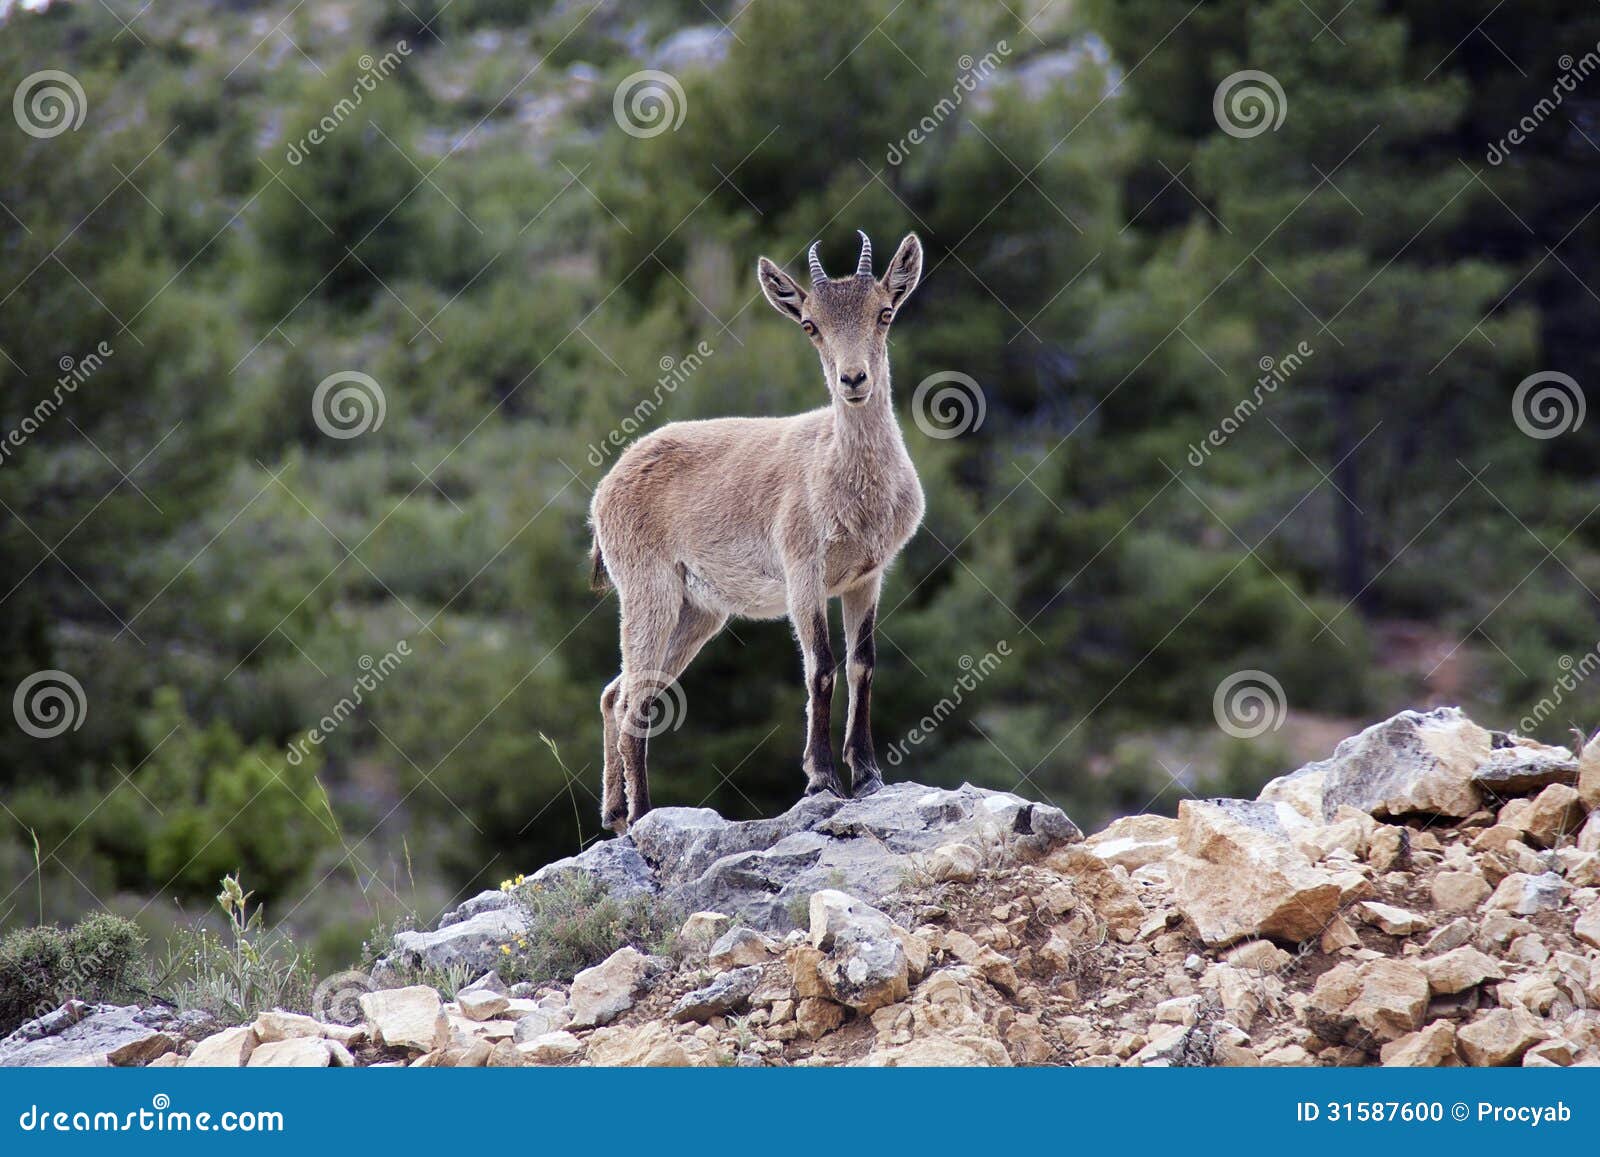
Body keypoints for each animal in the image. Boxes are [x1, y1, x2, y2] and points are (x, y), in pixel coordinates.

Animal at [588, 231, 926, 833]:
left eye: (884, 312)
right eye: (810, 325)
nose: (853, 379)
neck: (843, 476)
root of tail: (604, 490)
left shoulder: (866, 577)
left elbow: (863, 664)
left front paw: (867, 774)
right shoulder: (803, 570)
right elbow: (821, 666)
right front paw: (820, 778)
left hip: (697, 610)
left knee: (619, 692)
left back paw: (615, 815)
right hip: (648, 588)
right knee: (634, 699)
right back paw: (644, 816)